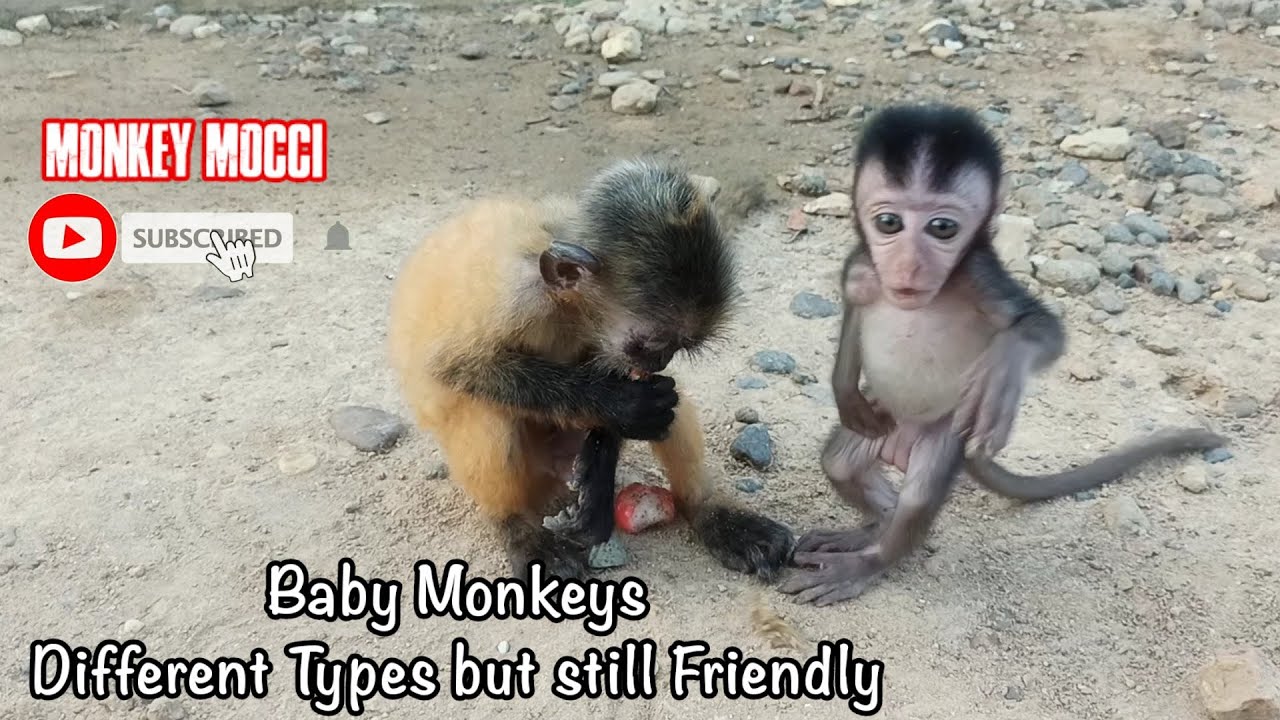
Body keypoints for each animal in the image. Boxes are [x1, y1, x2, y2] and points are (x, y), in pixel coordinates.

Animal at [388, 156, 793, 583]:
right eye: (653, 346)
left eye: (675, 349)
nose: (659, 363)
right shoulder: (519, 295)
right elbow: (453, 366)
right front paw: (618, 403)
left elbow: (646, 394)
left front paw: (601, 468)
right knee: (485, 410)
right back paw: (519, 528)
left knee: (671, 402)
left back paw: (709, 510)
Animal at [779, 103, 1227, 606]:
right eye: (888, 223)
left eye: (943, 228)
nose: (910, 266)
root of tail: (902, 440)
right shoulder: (859, 266)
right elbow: (854, 314)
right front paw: (843, 389)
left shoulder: (979, 274)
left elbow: (1042, 329)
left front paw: (1006, 365)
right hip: (884, 420)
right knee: (840, 464)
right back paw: (872, 524)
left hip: (944, 435)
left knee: (916, 499)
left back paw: (868, 560)